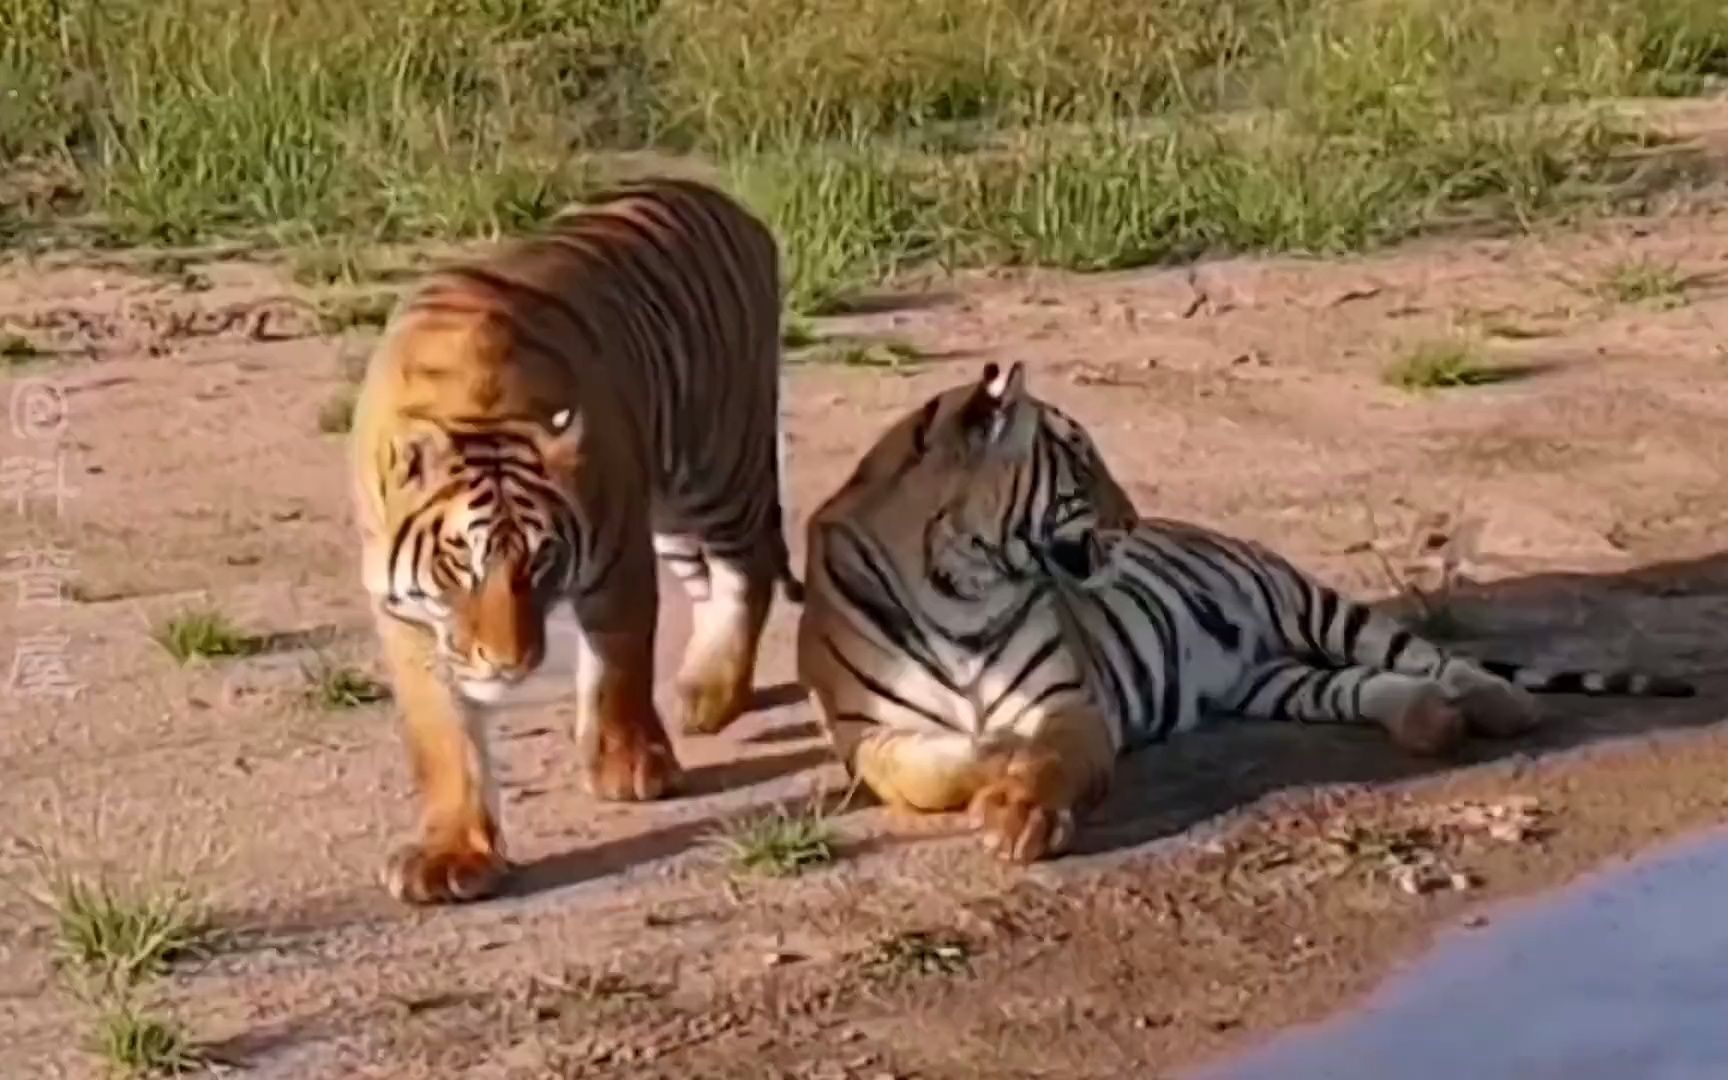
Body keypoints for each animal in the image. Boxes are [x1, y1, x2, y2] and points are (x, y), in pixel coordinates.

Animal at [350, 176, 800, 904]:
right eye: (459, 560)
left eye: (542, 558)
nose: (509, 665)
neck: (472, 404)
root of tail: (729, 203)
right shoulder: (405, 612)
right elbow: (442, 734)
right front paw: (452, 854)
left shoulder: (615, 552)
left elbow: (618, 665)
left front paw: (628, 768)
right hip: (676, 513)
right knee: (709, 578)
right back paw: (699, 687)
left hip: (715, 469)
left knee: (747, 567)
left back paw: (712, 693)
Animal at [795, 361, 1695, 864]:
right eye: (1081, 462)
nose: (1133, 517)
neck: (960, 579)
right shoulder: (873, 737)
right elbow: (935, 771)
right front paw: (993, 768)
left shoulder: (1067, 703)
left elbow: (1048, 758)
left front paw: (1020, 814)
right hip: (1277, 680)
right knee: (1366, 688)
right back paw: (1430, 724)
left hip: (1310, 604)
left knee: (1425, 656)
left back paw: (1496, 706)